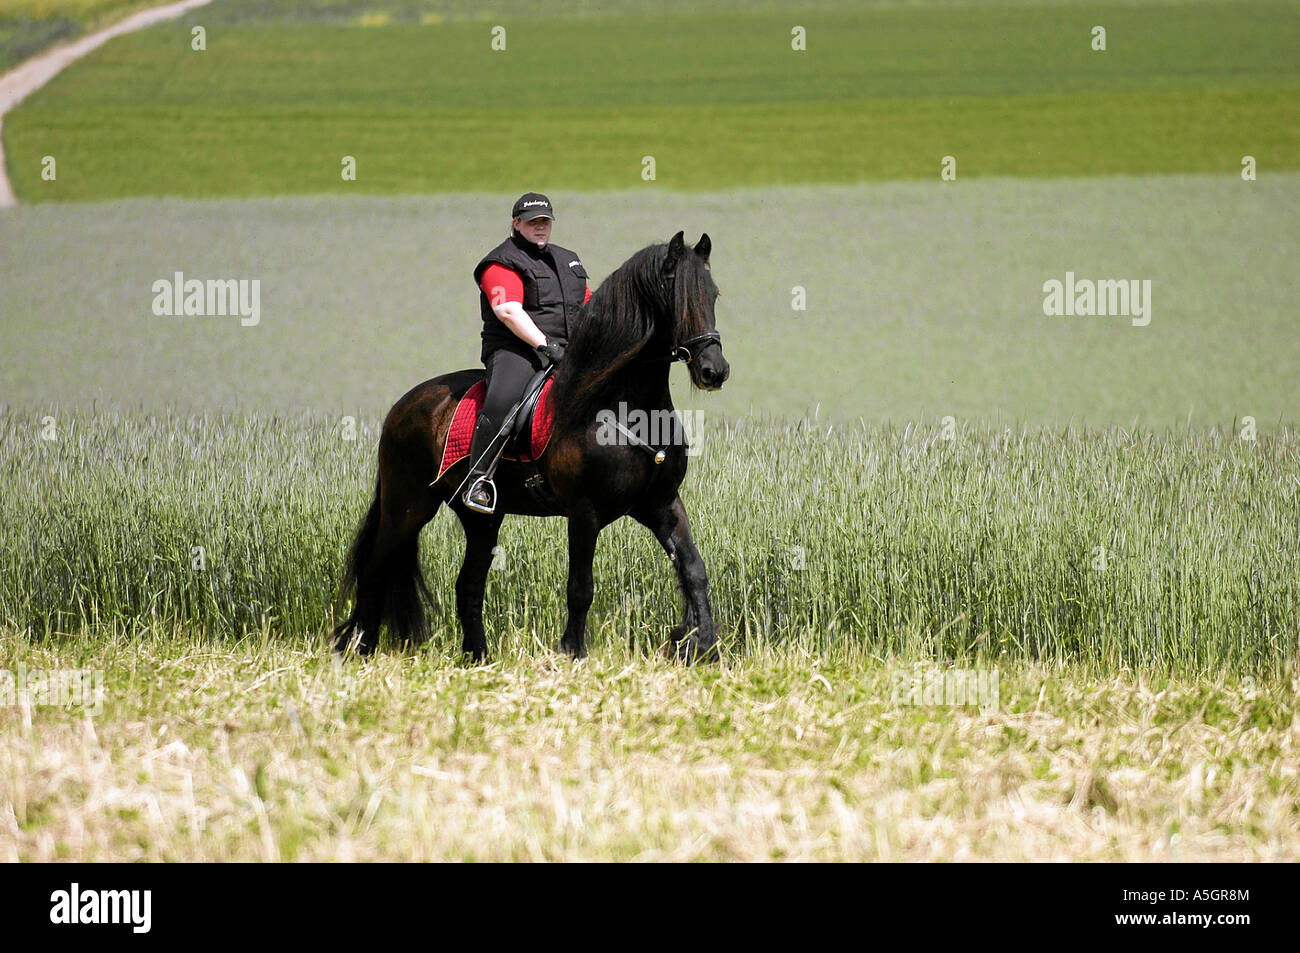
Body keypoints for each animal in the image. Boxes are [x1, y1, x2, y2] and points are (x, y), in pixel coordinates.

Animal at [332, 231, 729, 663]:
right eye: (678, 298)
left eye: (713, 295)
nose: (715, 371)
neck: (623, 405)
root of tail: (404, 405)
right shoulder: (584, 511)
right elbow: (580, 587)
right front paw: (573, 652)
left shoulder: (661, 503)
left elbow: (694, 569)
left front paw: (703, 646)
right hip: (407, 507)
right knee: (376, 568)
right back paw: (358, 649)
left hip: (481, 518)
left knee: (467, 585)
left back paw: (478, 658)